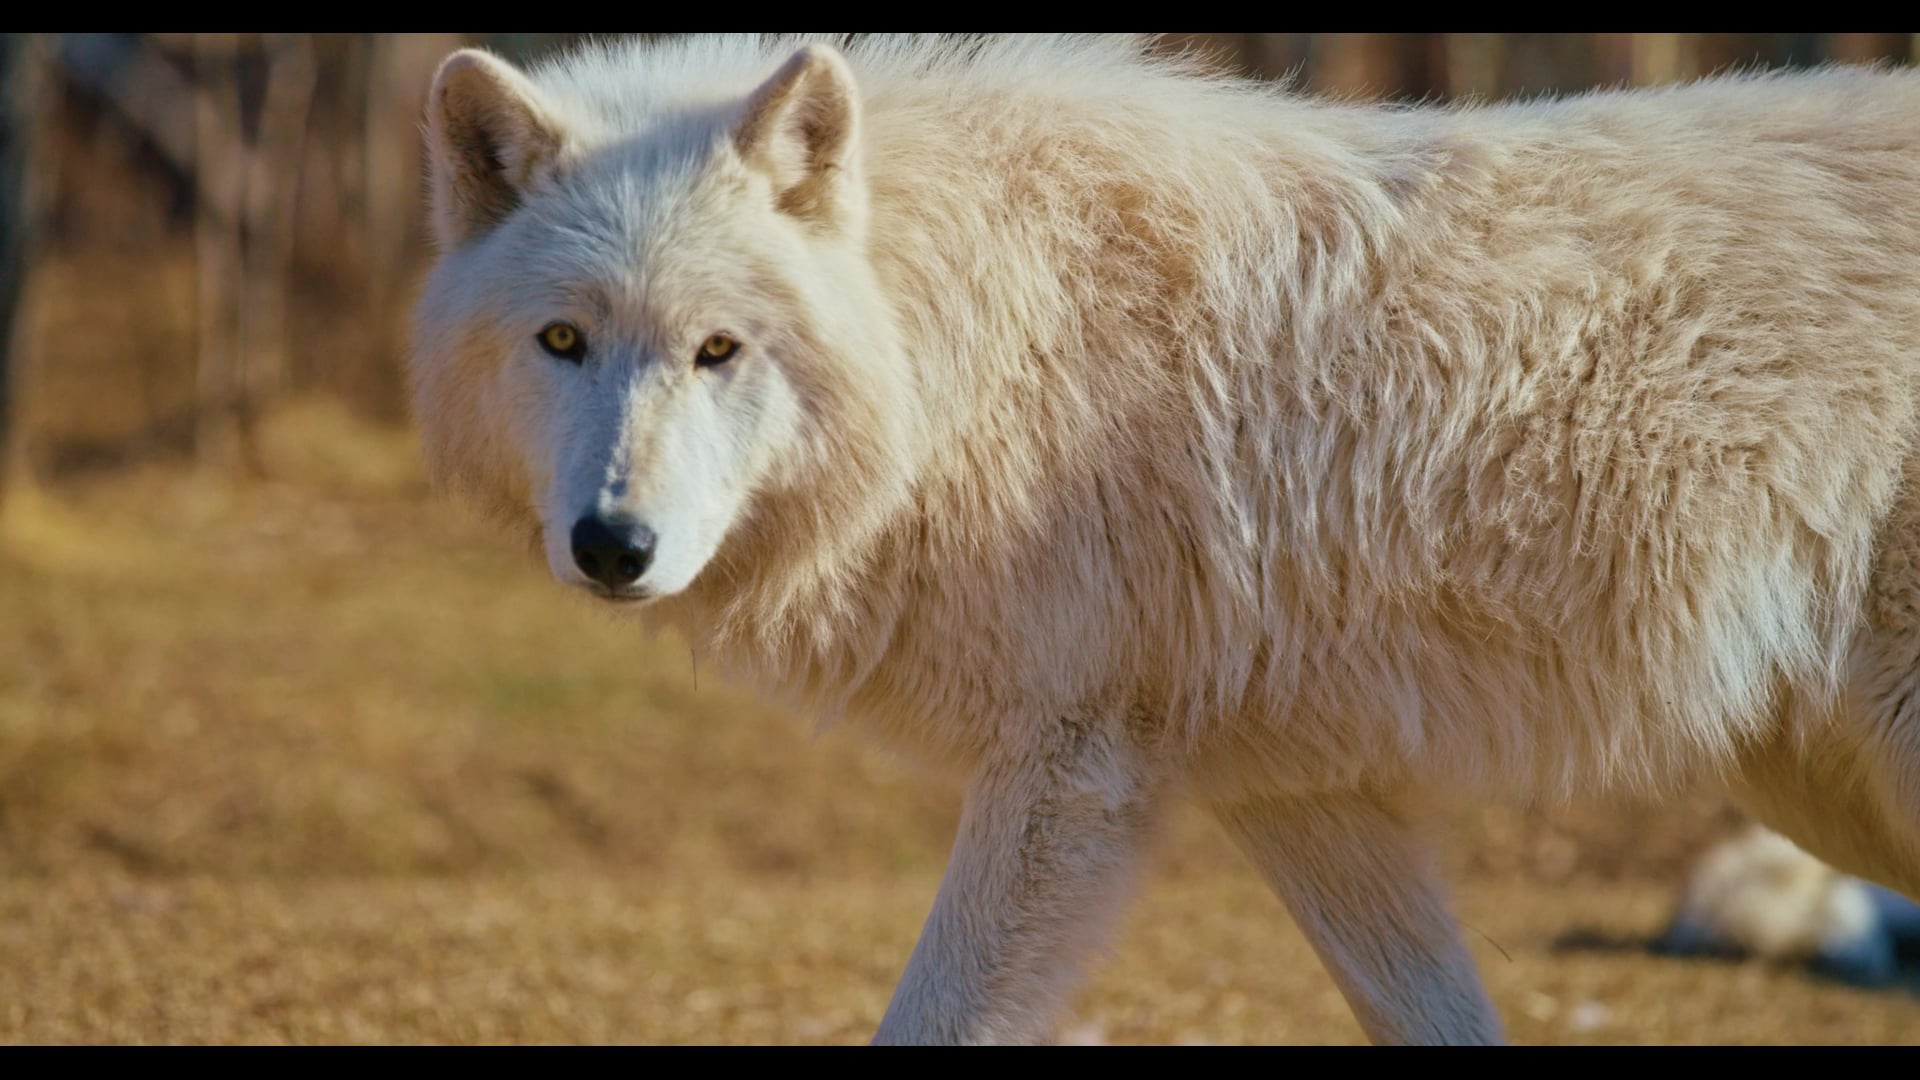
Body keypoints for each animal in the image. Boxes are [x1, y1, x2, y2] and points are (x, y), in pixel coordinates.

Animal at [408, 33, 1920, 1044]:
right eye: (563, 342)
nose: (612, 544)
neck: (983, 346)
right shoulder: (1304, 798)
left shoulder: (1067, 773)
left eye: (718, 349)